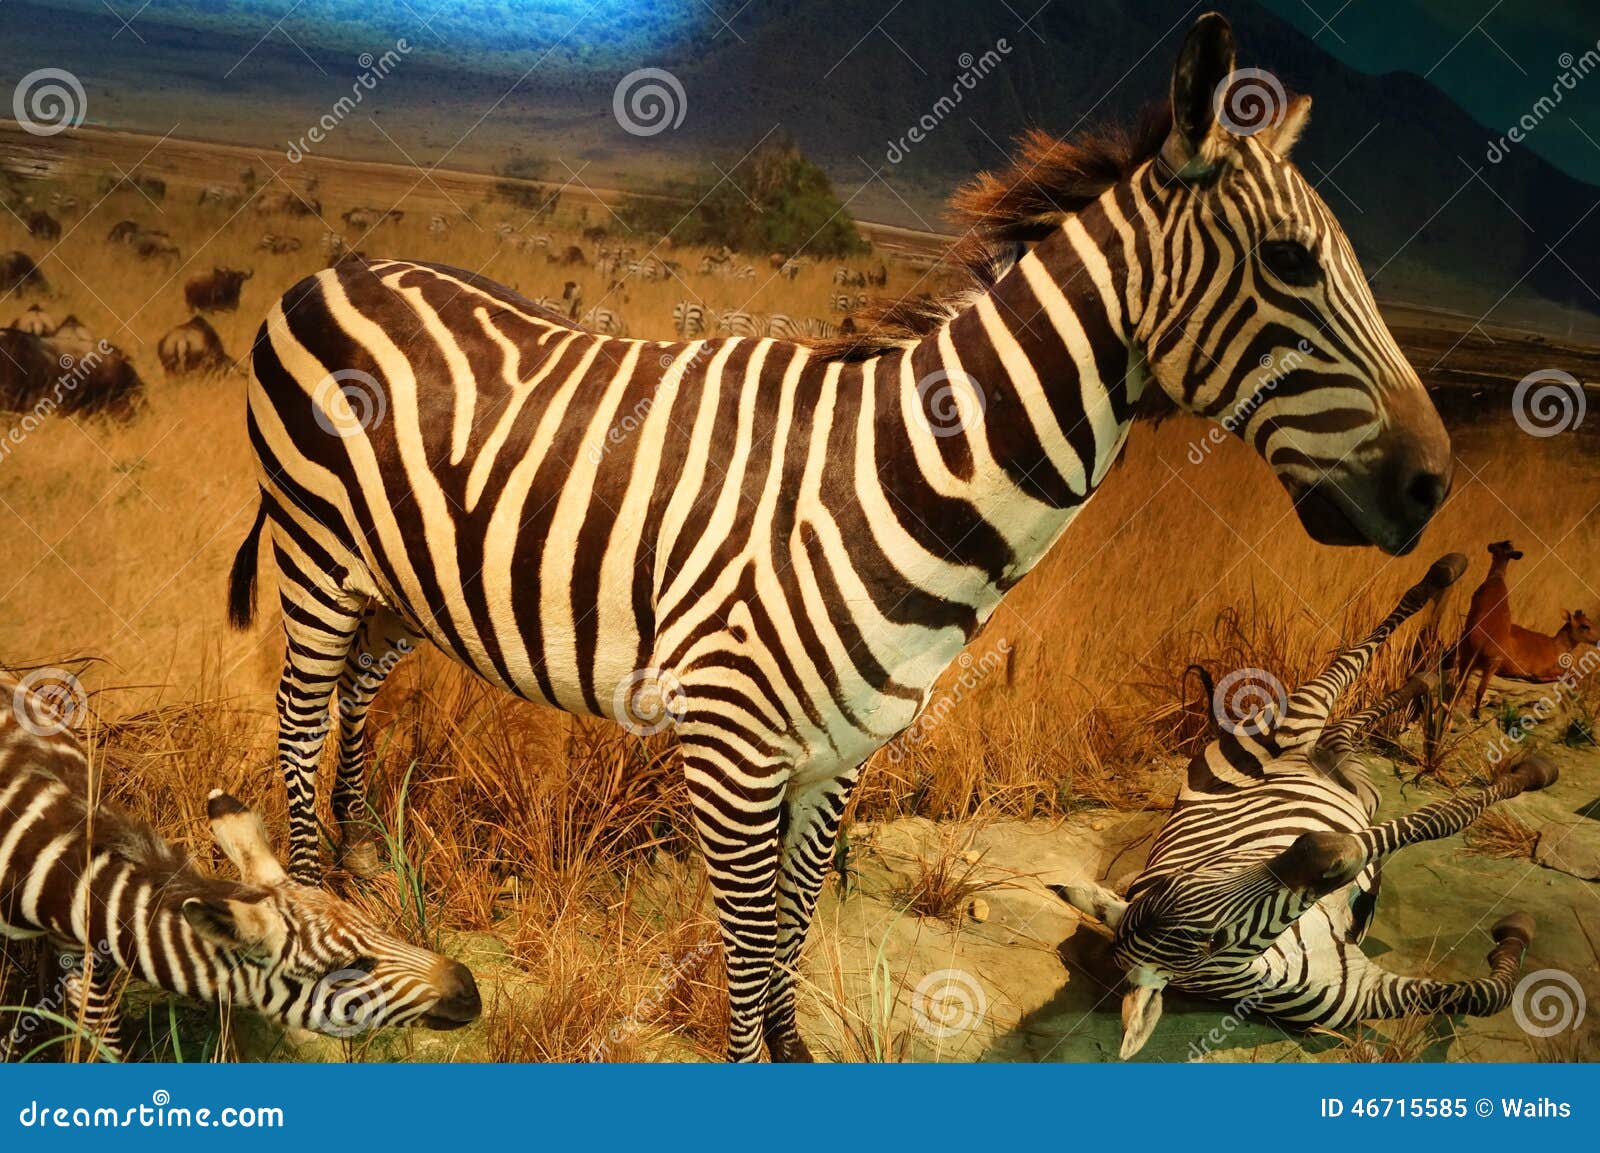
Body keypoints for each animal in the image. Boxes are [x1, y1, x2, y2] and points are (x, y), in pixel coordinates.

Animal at [0, 674, 480, 1061]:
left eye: (377, 926)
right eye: (352, 967)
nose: (470, 989)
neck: (57, 867)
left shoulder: (77, 945)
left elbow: (101, 1031)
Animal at [228, 12, 1450, 1062]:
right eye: (1292, 260)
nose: (1433, 486)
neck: (891, 479)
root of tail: (339, 265)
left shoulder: (839, 757)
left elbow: (793, 930)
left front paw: (795, 1048)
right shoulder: (729, 749)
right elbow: (746, 946)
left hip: (403, 583)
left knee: (355, 698)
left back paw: (359, 881)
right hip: (316, 556)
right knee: (298, 721)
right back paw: (315, 915)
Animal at [1054, 554, 1550, 1059]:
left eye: (1187, 875)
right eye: (1210, 944)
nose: (1317, 848)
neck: (1283, 959)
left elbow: (1430, 823)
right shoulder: (1367, 988)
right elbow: (1485, 992)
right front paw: (1515, 932)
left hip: (1297, 733)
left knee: (1348, 677)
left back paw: (1439, 604)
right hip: (1347, 776)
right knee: (1343, 725)